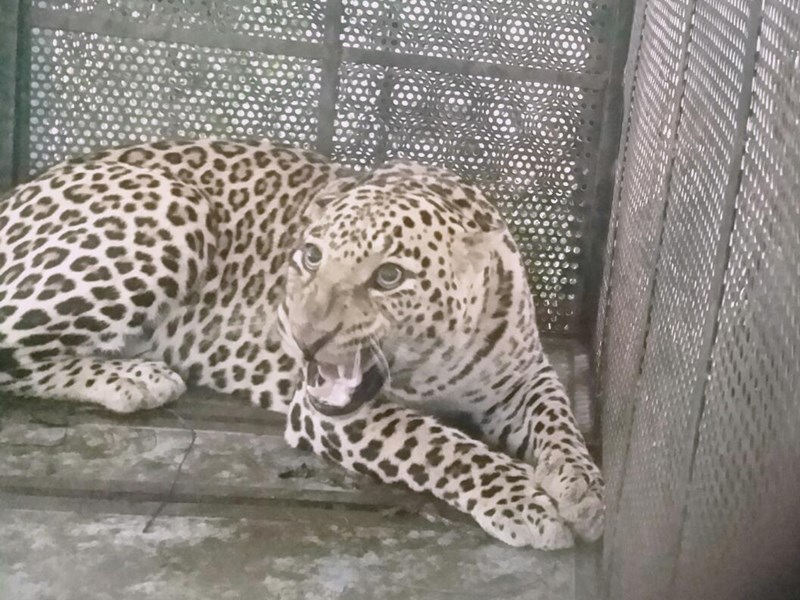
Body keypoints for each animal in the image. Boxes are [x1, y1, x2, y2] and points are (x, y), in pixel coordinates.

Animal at [0, 138, 603, 549]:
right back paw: (136, 379)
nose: (304, 338)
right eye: (310, 255)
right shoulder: (327, 410)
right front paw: (525, 501)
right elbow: (440, 446)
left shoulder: (524, 376)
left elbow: (557, 419)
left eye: (389, 277)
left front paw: (580, 487)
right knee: (12, 354)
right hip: (169, 209)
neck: (434, 361)